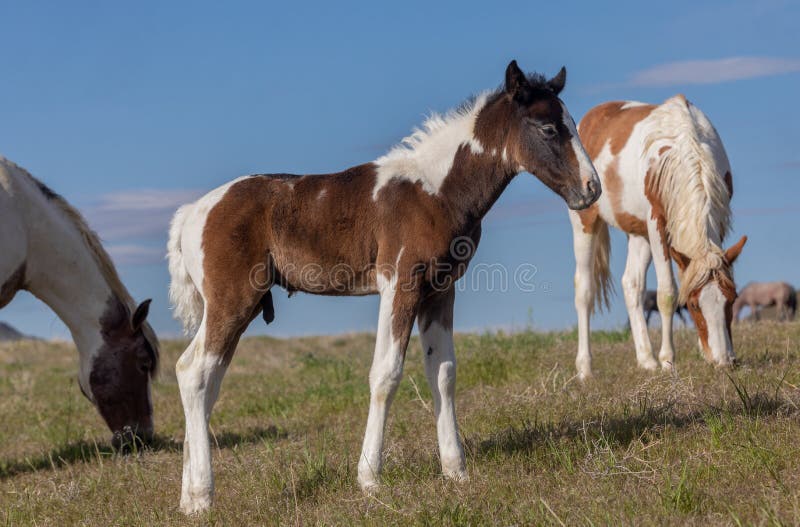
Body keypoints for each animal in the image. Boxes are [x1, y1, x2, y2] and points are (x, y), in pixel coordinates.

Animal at [167, 60, 600, 514]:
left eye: (572, 123)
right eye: (548, 128)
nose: (592, 189)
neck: (436, 191)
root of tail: (192, 213)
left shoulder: (441, 291)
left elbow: (442, 372)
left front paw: (456, 471)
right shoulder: (400, 284)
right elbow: (386, 373)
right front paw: (369, 478)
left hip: (238, 306)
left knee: (199, 376)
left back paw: (187, 498)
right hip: (233, 301)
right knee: (196, 374)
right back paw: (202, 497)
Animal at [568, 95, 746, 379]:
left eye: (732, 298)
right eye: (693, 305)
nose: (724, 361)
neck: (687, 149)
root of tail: (589, 119)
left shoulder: (716, 222)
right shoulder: (657, 226)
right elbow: (667, 293)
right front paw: (668, 360)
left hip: (638, 234)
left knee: (631, 285)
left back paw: (646, 359)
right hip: (585, 223)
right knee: (584, 291)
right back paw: (585, 369)